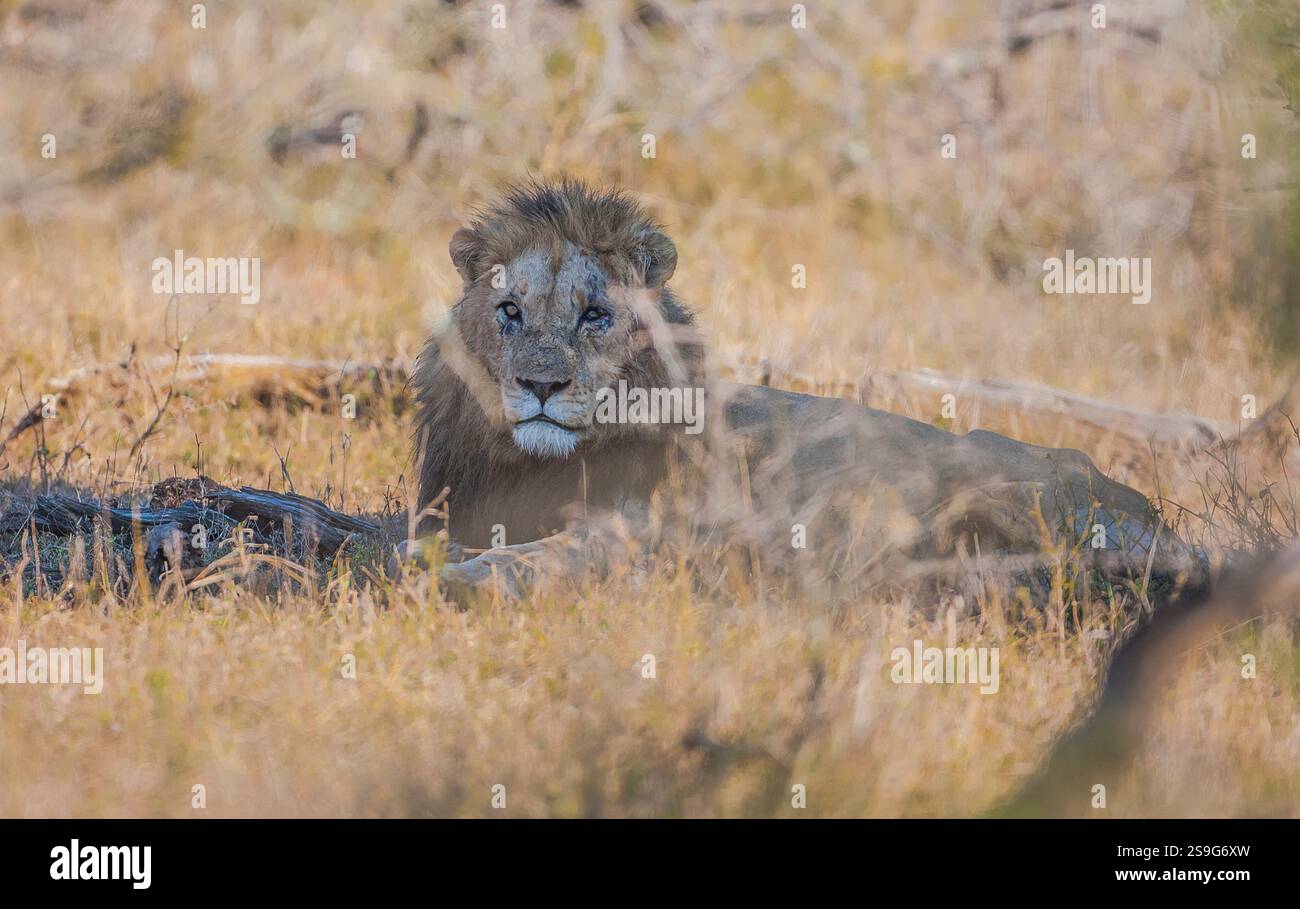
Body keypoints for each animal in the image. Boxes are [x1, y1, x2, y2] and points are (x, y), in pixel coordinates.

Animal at [404, 179, 1197, 600]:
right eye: (511, 311)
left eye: (594, 315)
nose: (541, 383)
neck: (527, 463)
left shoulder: (659, 522)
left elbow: (556, 552)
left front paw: (459, 574)